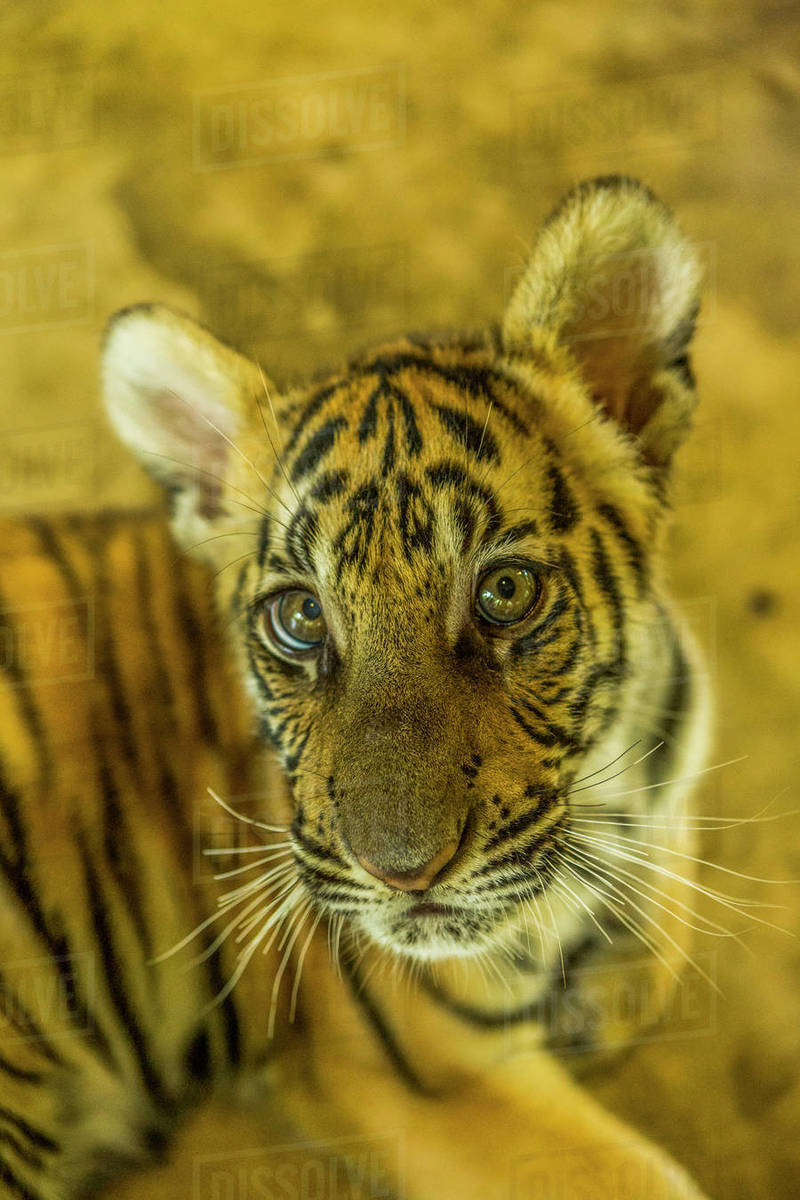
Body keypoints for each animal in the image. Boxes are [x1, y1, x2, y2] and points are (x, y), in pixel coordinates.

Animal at [0, 175, 718, 1199]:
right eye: (301, 616)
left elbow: (669, 904)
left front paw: (607, 990)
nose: (402, 874)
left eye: (505, 592)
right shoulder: (425, 1067)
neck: (606, 792)